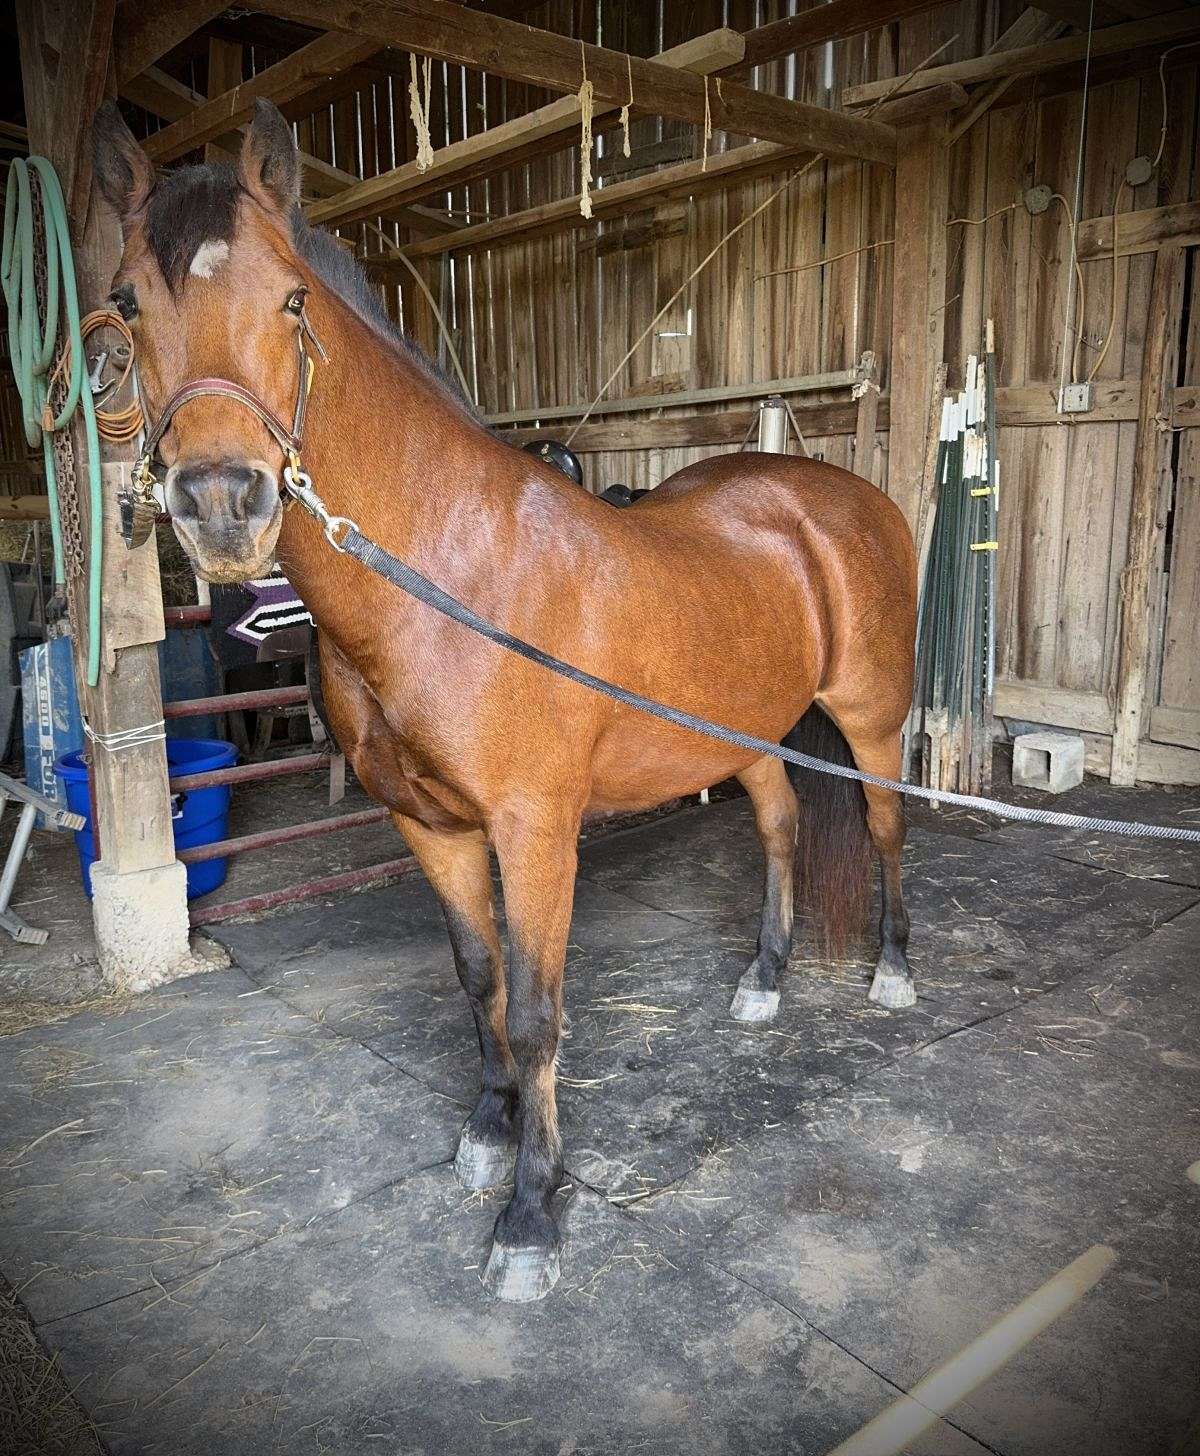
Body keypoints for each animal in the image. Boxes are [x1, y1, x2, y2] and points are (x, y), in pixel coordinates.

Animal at [92, 99, 918, 1302]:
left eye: (291, 300)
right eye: (126, 306)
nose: (222, 505)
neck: (450, 572)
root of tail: (842, 497)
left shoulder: (535, 833)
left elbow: (534, 1013)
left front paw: (532, 1214)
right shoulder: (430, 827)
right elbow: (476, 978)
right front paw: (487, 1131)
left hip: (870, 720)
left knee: (890, 832)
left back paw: (895, 970)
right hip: (749, 733)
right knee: (777, 827)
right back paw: (764, 980)